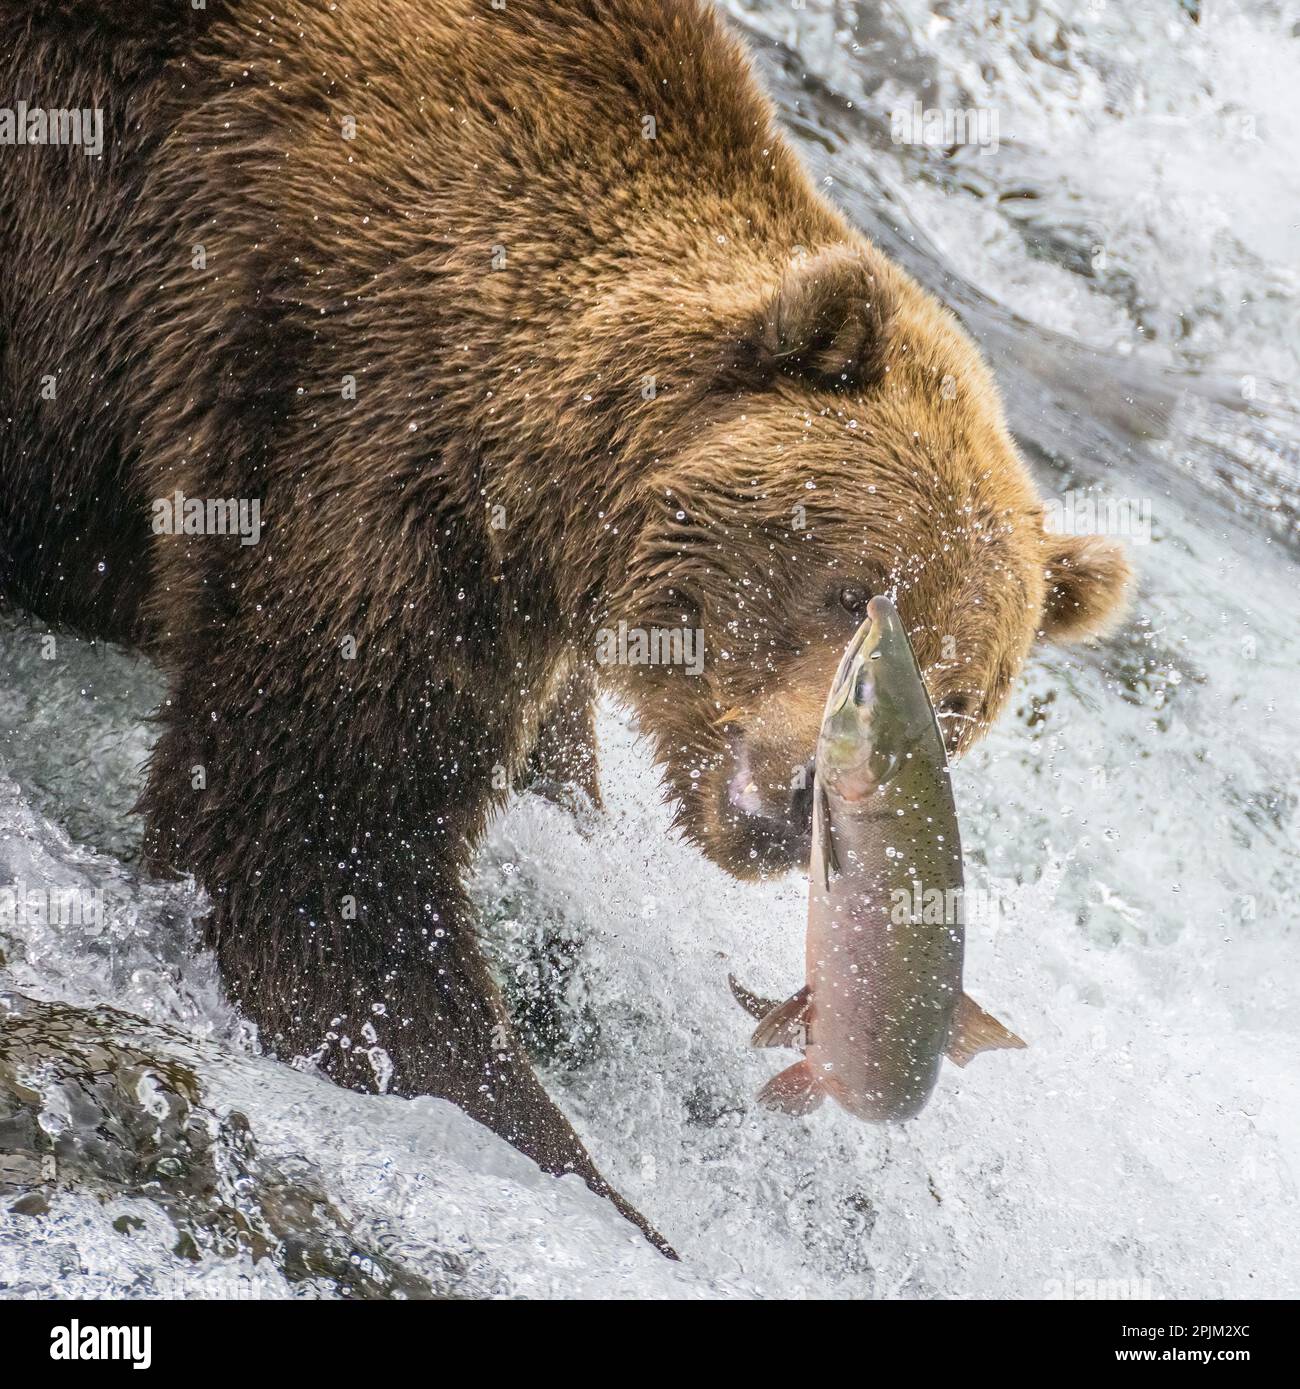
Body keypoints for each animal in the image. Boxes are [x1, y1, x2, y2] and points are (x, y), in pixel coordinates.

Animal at [0, 0, 1129, 1251]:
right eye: (852, 588)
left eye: (963, 700)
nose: (806, 805)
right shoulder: (358, 438)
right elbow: (318, 859)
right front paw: (592, 1185)